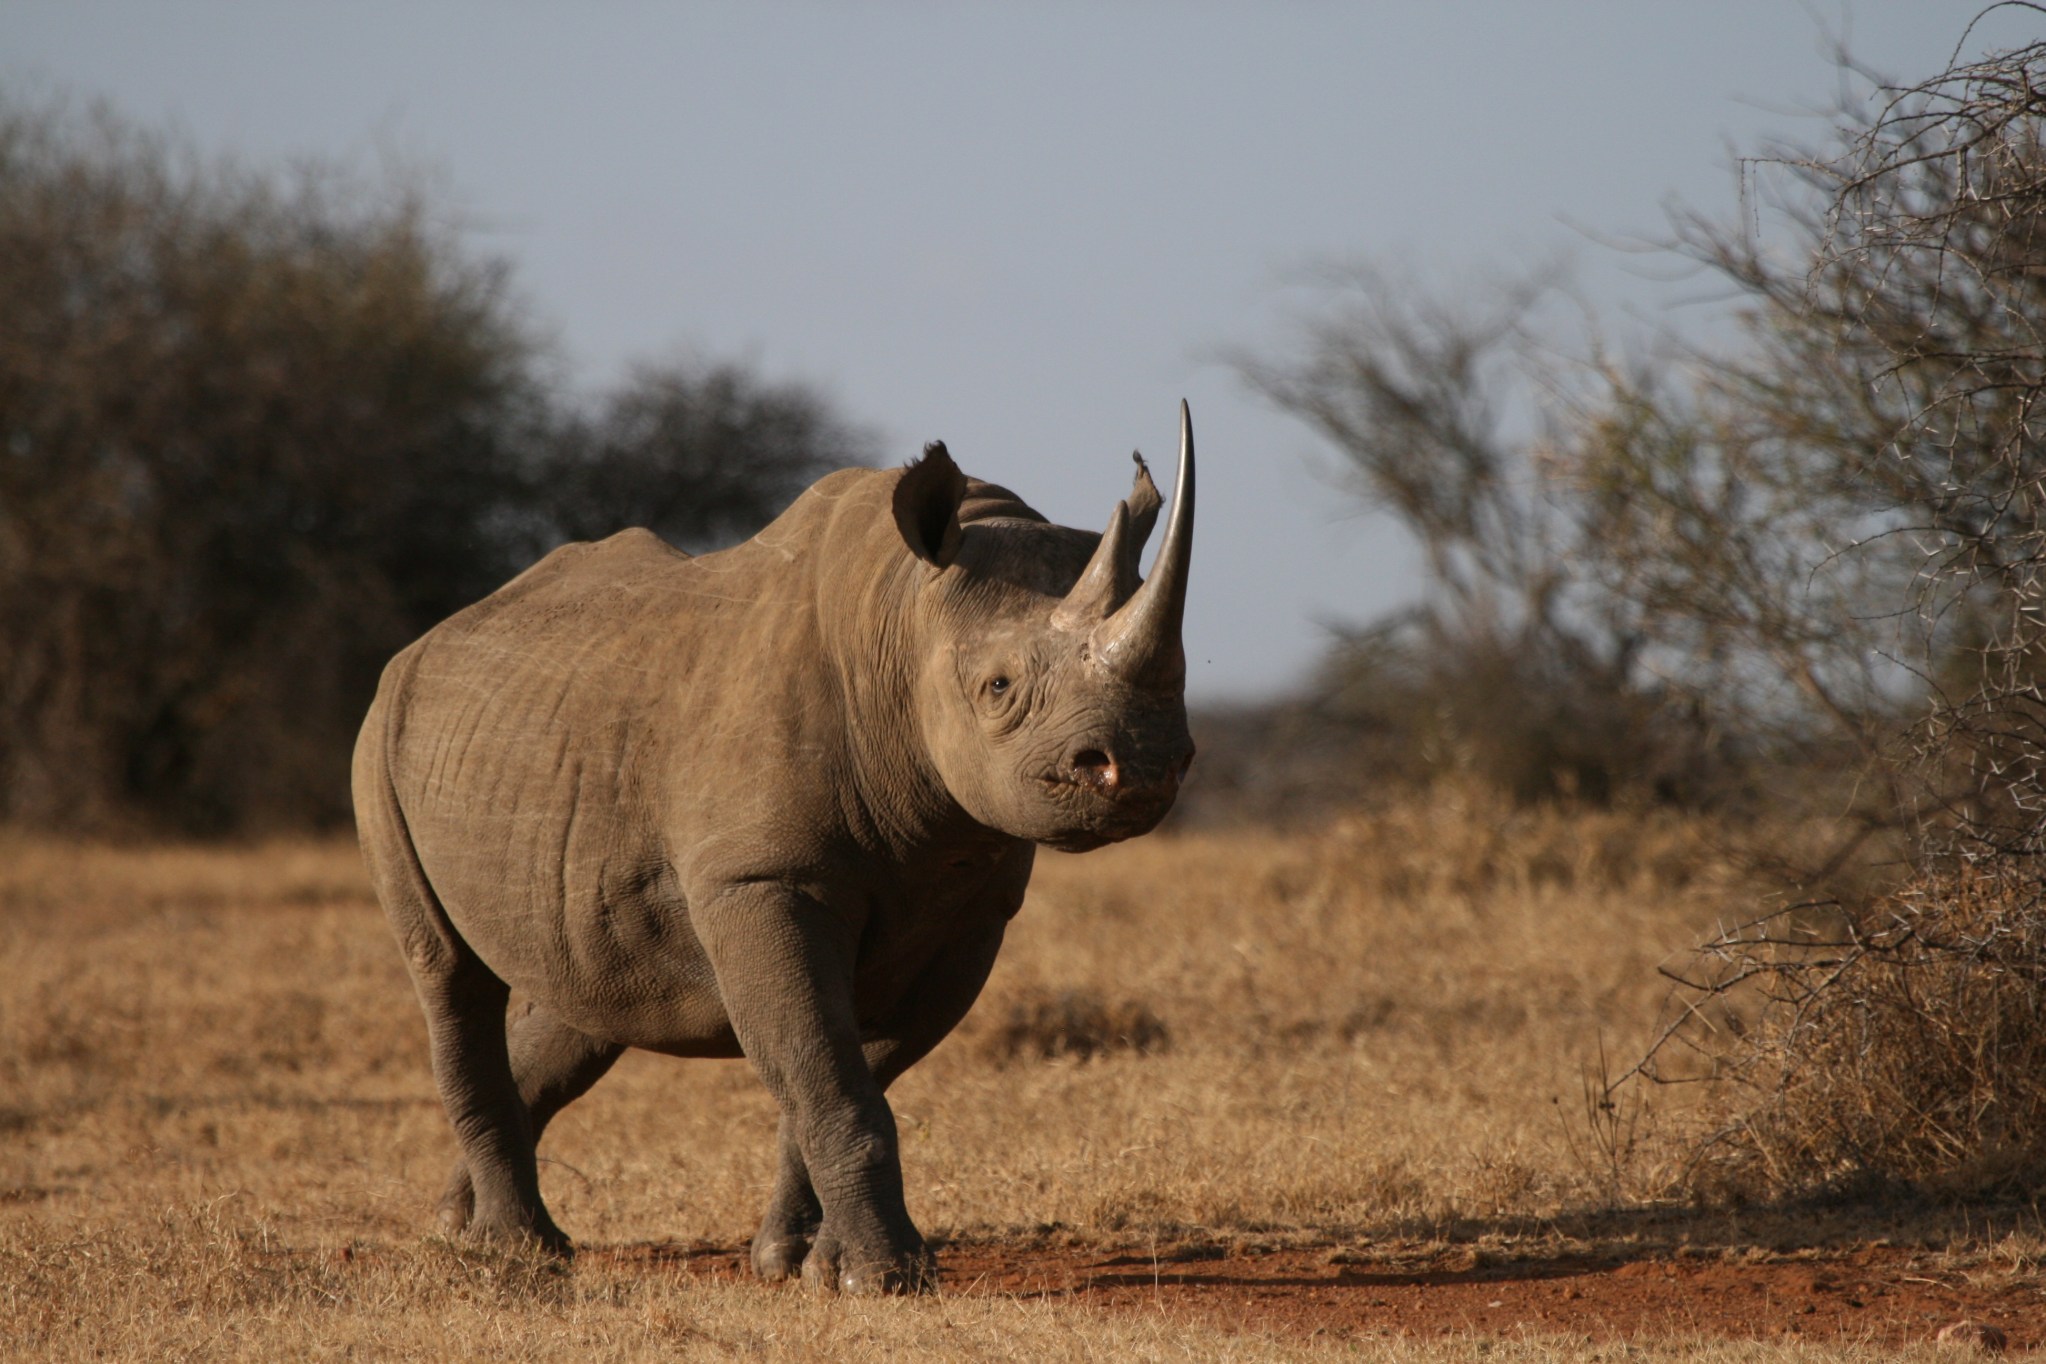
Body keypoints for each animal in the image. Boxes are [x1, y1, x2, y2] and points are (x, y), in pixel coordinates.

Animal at [351, 402, 1198, 1293]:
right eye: (998, 688)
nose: (1141, 767)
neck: (900, 615)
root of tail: (429, 640)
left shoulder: (972, 909)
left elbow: (837, 1076)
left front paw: (803, 1266)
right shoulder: (760, 879)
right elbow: (831, 1080)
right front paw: (889, 1277)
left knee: (585, 994)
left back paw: (463, 1230)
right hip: (380, 740)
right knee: (450, 975)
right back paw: (522, 1249)